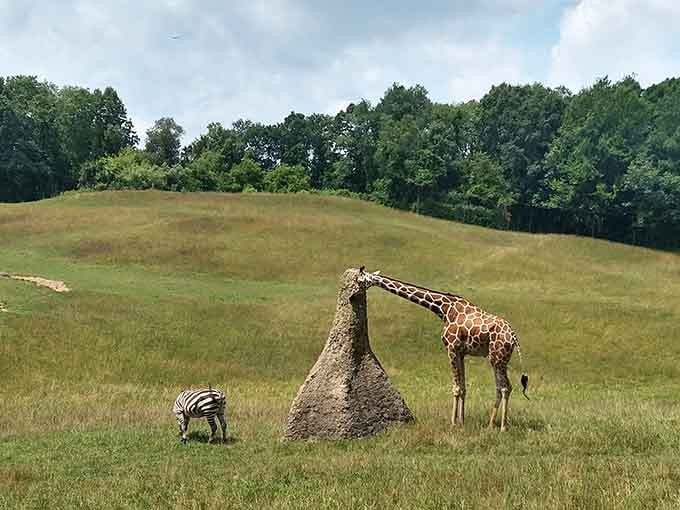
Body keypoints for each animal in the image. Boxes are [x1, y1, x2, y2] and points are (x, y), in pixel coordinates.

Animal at [358, 267, 528, 431]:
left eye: (361, 279)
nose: (355, 291)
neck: (443, 308)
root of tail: (513, 337)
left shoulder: (451, 348)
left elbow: (456, 388)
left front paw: (452, 423)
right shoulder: (461, 352)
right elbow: (463, 387)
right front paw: (461, 422)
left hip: (498, 358)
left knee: (505, 387)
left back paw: (503, 427)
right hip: (497, 358)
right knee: (500, 387)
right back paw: (490, 425)